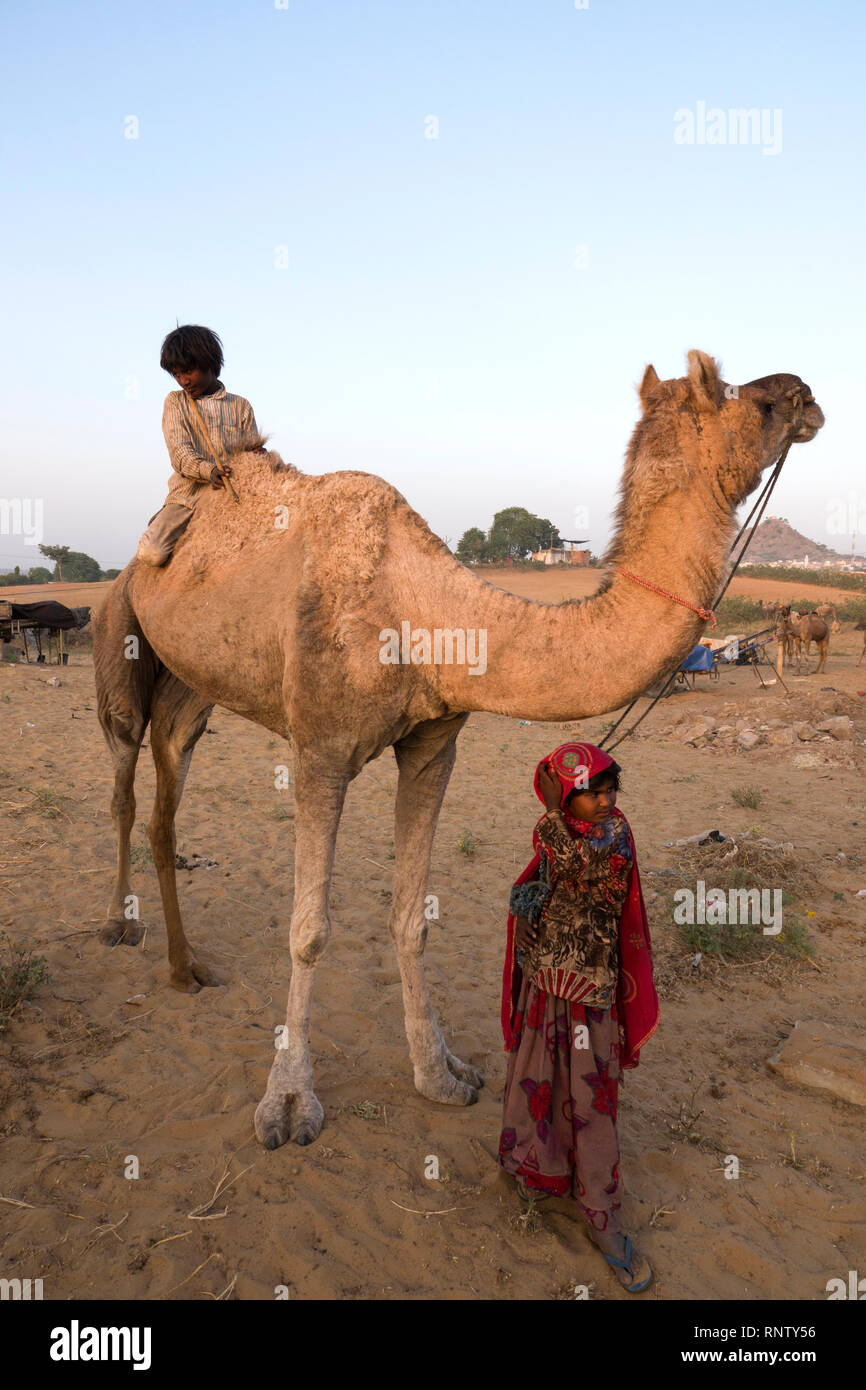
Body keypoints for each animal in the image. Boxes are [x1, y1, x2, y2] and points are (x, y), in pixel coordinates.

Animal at [93, 350, 824, 1150]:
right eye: (748, 398)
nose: (806, 395)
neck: (427, 613)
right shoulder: (320, 749)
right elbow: (309, 931)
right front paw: (288, 1103)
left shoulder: (433, 746)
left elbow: (412, 918)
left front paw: (440, 1074)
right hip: (119, 635)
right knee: (123, 782)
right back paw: (119, 927)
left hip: (193, 693)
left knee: (167, 797)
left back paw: (183, 966)